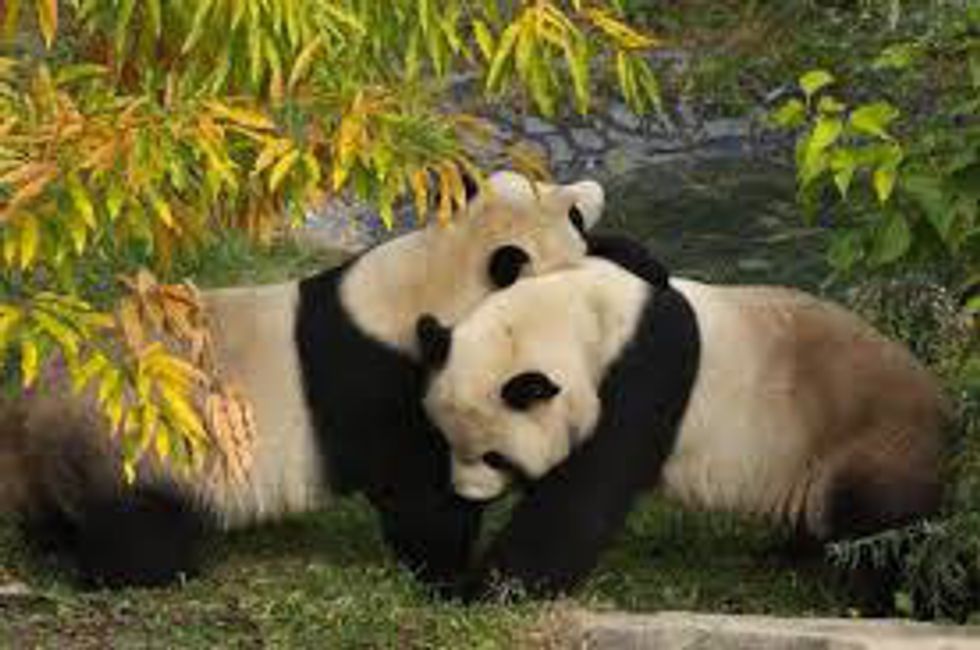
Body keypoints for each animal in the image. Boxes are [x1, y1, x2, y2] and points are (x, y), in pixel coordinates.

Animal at [0, 170, 606, 590]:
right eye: (575, 216)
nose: (595, 190)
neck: (440, 274)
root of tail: (27, 411)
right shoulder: (394, 383)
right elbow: (420, 489)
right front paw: (444, 567)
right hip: (133, 441)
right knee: (137, 526)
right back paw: (142, 572)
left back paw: (53, 542)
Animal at [416, 251, 948, 599]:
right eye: (446, 442)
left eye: (495, 458)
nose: (466, 495)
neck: (585, 315)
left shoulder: (644, 377)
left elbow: (581, 501)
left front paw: (479, 589)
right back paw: (783, 554)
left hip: (872, 440)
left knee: (881, 529)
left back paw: (874, 591)